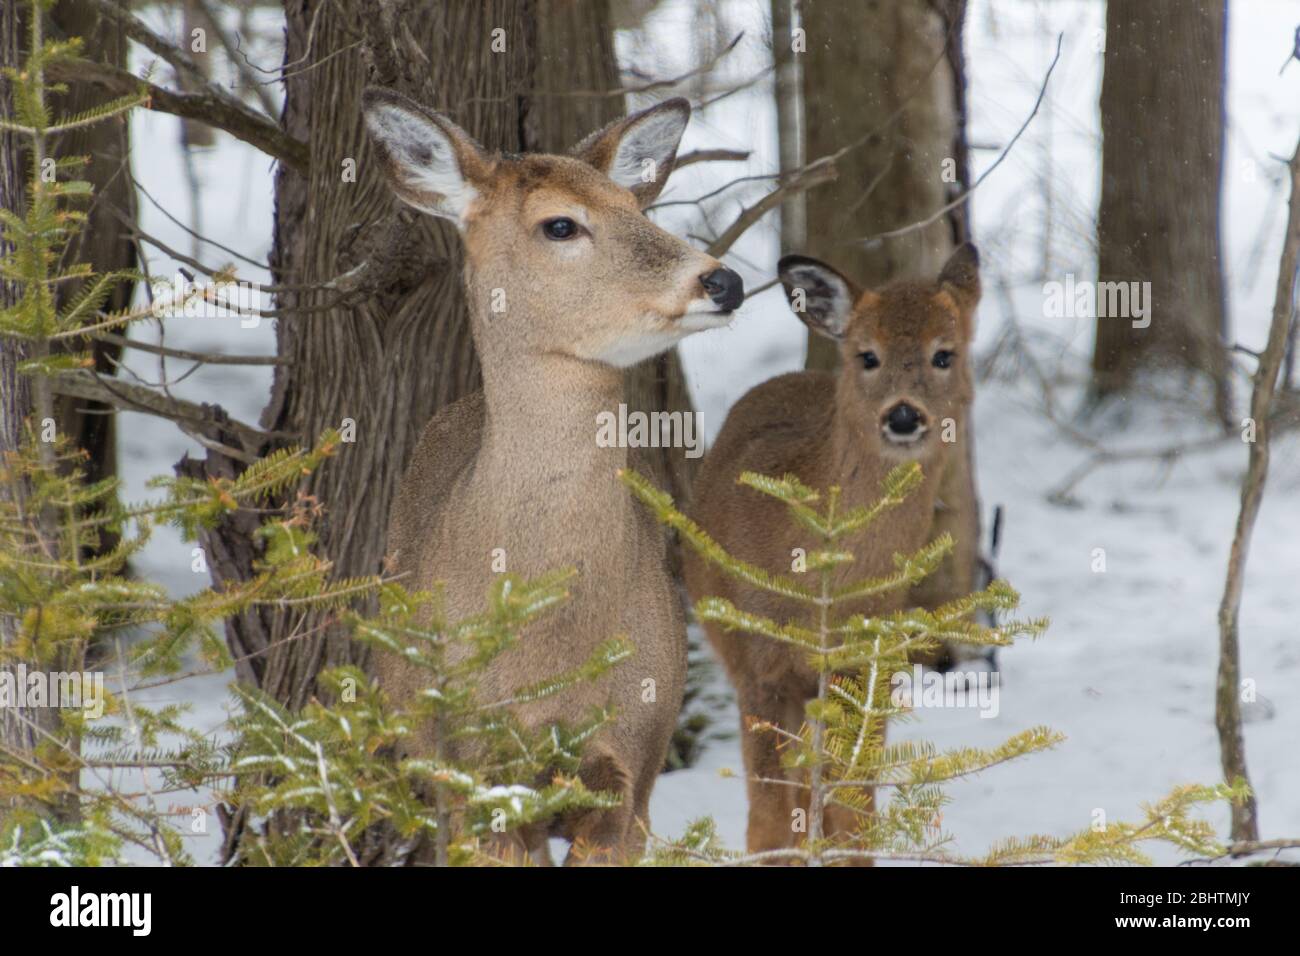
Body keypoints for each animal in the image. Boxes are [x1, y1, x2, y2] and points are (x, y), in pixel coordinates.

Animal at [684, 244, 981, 855]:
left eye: (945, 354)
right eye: (867, 356)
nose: (903, 415)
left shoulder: (868, 668)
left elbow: (854, 813)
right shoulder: (759, 667)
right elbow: (769, 820)